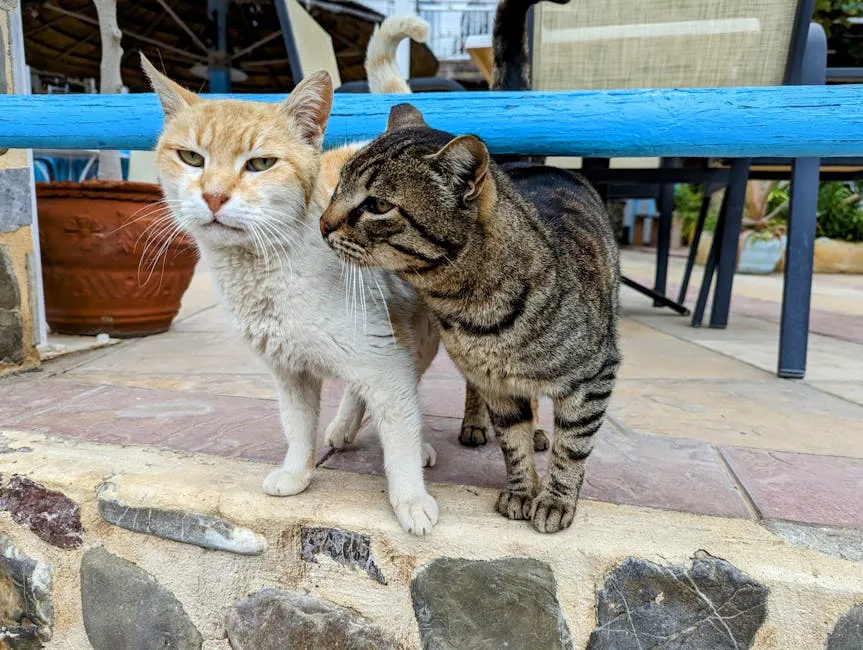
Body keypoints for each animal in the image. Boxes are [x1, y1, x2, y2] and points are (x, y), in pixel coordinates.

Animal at [143, 44, 442, 532]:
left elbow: (400, 438)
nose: (214, 196)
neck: (267, 273)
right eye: (192, 158)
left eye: (261, 164)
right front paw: (297, 473)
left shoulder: (386, 363)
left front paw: (411, 499)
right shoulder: (290, 372)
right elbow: (298, 428)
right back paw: (344, 427)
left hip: (421, 338)